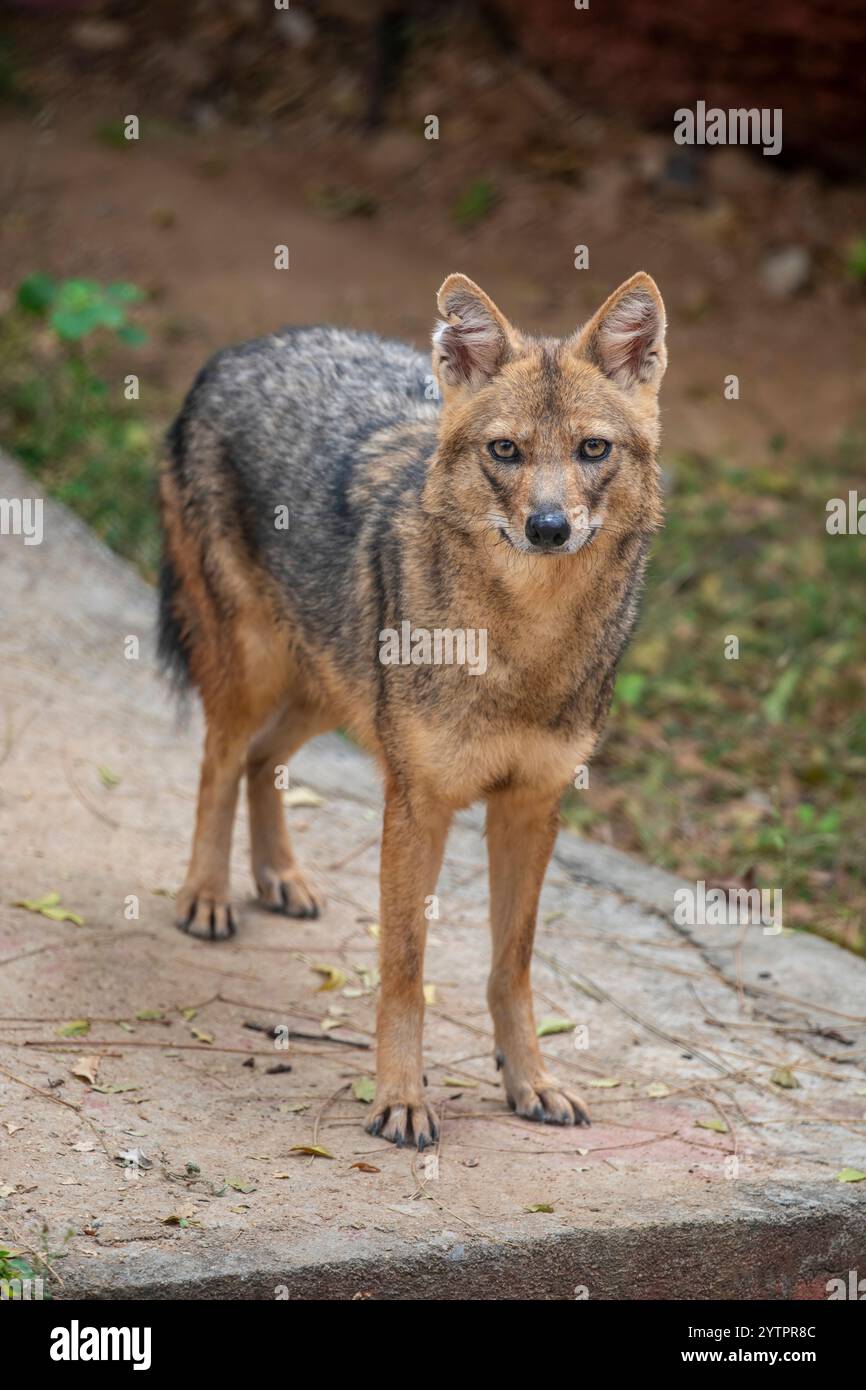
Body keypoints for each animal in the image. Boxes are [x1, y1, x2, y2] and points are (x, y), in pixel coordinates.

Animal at [158, 271, 667, 1147]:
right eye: (506, 451)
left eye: (593, 450)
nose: (548, 527)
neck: (524, 644)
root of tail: (240, 350)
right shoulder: (418, 802)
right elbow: (404, 966)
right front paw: (400, 1098)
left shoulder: (531, 806)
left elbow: (511, 966)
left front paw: (531, 1082)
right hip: (255, 669)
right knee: (218, 763)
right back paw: (209, 897)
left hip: (329, 689)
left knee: (262, 760)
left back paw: (280, 878)